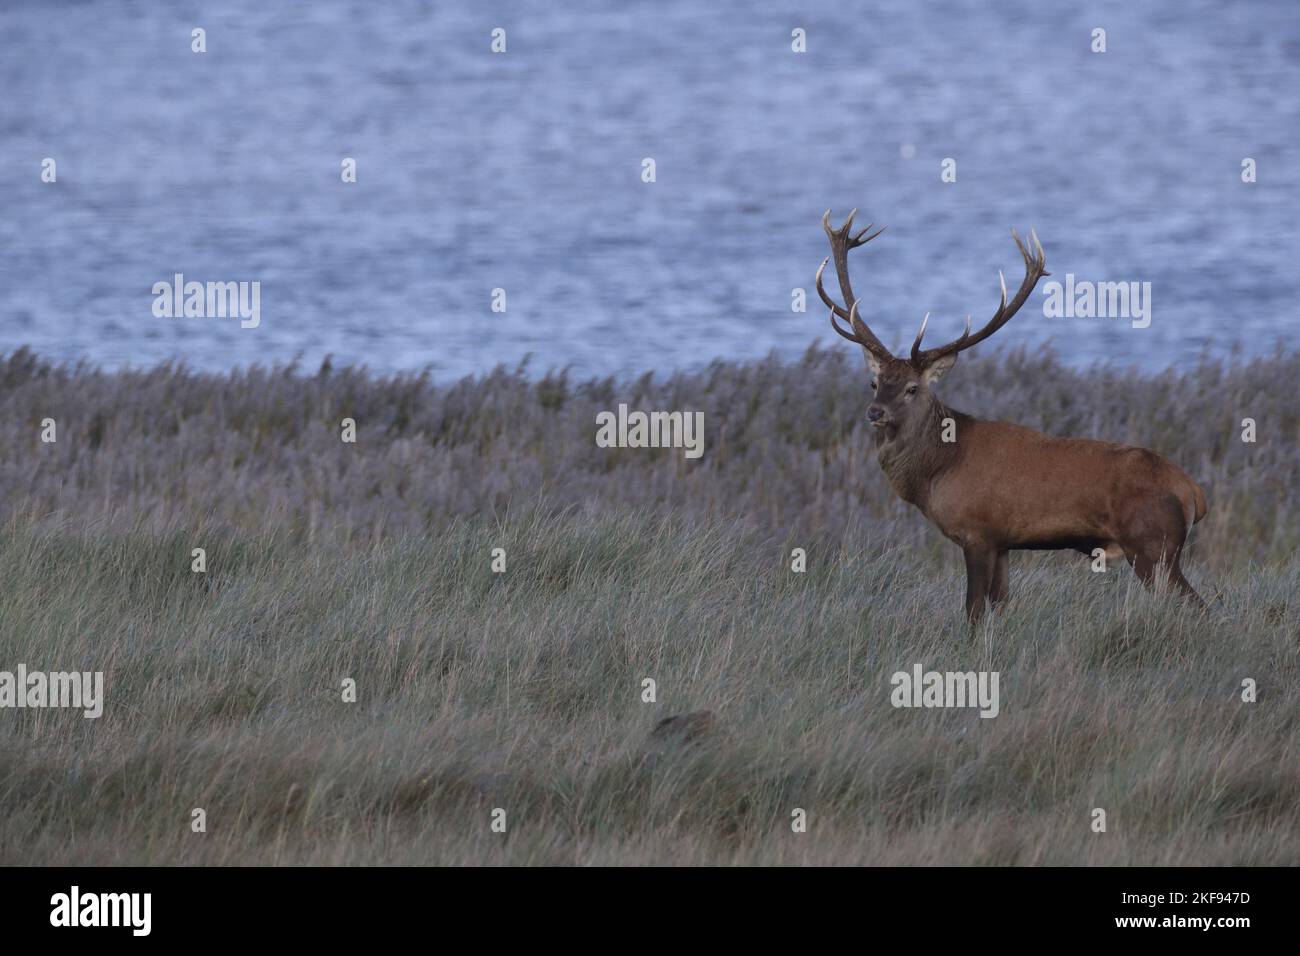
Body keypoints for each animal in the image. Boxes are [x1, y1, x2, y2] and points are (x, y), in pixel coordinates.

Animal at [815, 210, 1208, 622]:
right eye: (874, 382)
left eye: (912, 388)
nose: (875, 411)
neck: (938, 469)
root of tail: (1194, 492)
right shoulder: (1003, 543)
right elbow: (999, 606)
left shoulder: (978, 533)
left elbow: (973, 611)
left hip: (1153, 545)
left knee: (1201, 605)